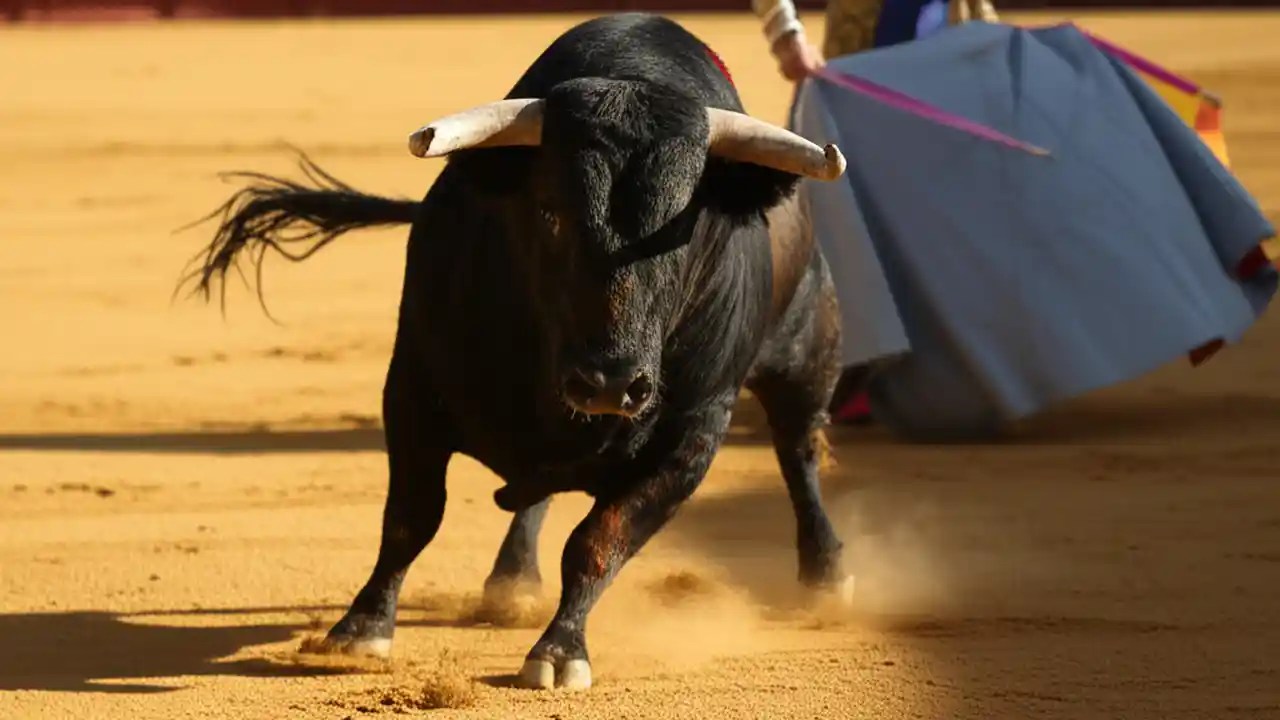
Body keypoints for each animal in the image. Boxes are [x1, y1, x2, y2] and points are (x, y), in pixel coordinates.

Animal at [185, 12, 853, 690]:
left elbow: (599, 541)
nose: (609, 384)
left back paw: (825, 580)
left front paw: (559, 652)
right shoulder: (413, 386)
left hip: (807, 351)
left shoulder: (693, 435)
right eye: (550, 211)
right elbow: (411, 517)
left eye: (684, 227)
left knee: (798, 451)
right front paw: (359, 631)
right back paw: (511, 583)